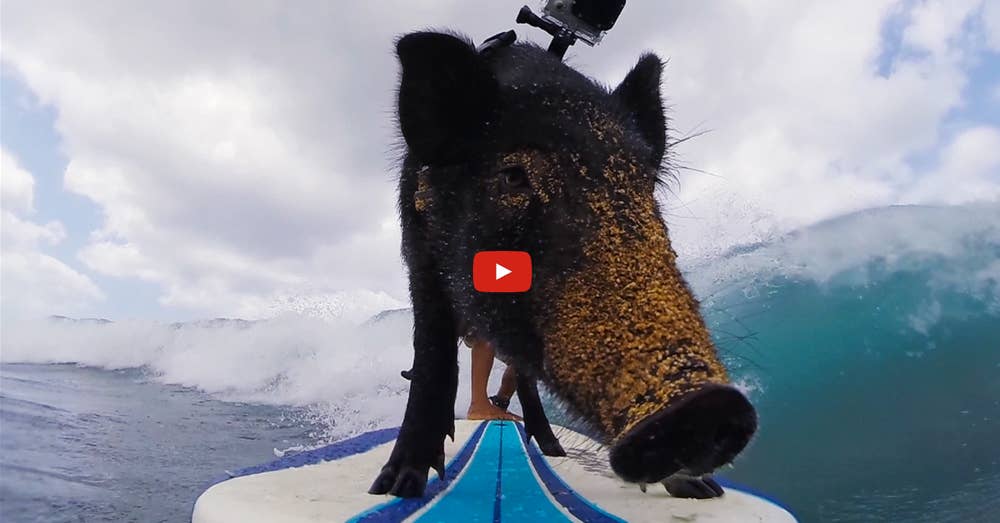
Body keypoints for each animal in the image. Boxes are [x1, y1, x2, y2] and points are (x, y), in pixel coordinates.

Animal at [369, 31, 757, 500]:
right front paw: (395, 487)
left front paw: (703, 490)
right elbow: (431, 354)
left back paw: (553, 448)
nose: (707, 404)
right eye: (513, 175)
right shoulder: (420, 251)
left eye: (644, 182)